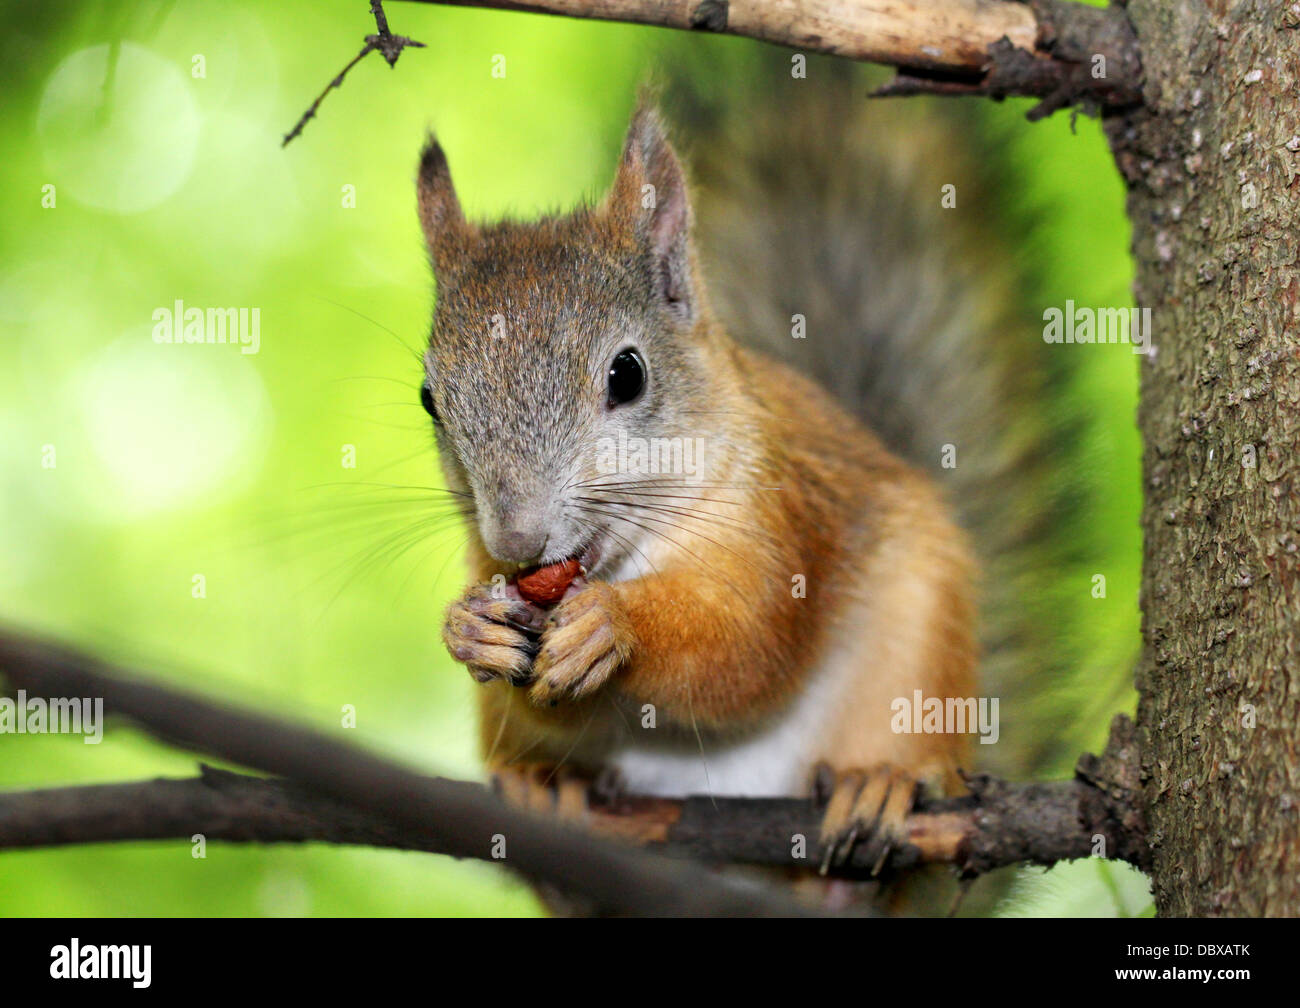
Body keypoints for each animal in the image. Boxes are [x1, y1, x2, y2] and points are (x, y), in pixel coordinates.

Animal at [414, 54, 1078, 898]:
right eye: (430, 400)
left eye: (627, 375)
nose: (518, 538)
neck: (633, 554)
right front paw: (470, 629)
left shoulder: (780, 524)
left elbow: (748, 650)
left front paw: (614, 627)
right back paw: (547, 790)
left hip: (919, 647)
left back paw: (872, 805)